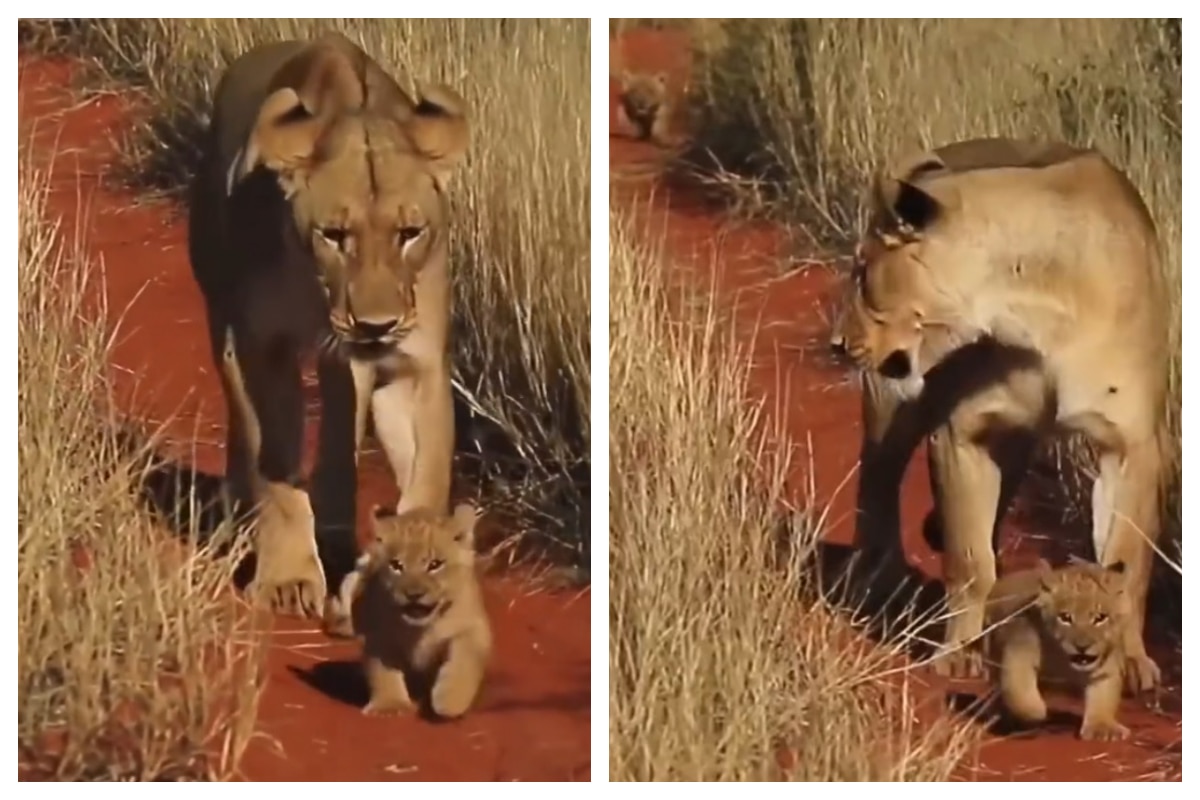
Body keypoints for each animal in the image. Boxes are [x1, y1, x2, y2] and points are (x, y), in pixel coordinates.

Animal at [188, 33, 470, 619]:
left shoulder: (415, 363)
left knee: (343, 424)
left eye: (410, 232)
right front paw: (287, 578)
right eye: (334, 235)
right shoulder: (257, 345)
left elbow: (426, 480)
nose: (375, 325)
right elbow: (275, 462)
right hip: (219, 308)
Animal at [328, 503, 492, 718]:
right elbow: (383, 672)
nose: (414, 594)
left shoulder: (472, 628)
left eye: (435, 564)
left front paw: (449, 701)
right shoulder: (376, 636)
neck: (419, 629)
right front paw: (389, 705)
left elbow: (464, 660)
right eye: (396, 565)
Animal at [831, 137, 1170, 694]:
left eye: (863, 273)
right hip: (891, 400)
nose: (837, 342)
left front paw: (1130, 660)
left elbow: (1130, 559)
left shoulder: (1131, 446)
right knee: (877, 479)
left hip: (1015, 437)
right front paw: (958, 653)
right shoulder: (961, 433)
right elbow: (969, 559)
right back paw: (878, 575)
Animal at [981, 559, 1131, 742]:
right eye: (1065, 618)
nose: (1082, 646)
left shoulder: (1105, 670)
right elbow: (1020, 694)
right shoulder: (1018, 657)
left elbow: (1103, 698)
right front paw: (1037, 714)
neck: (1064, 661)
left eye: (1100, 618)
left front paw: (1102, 728)